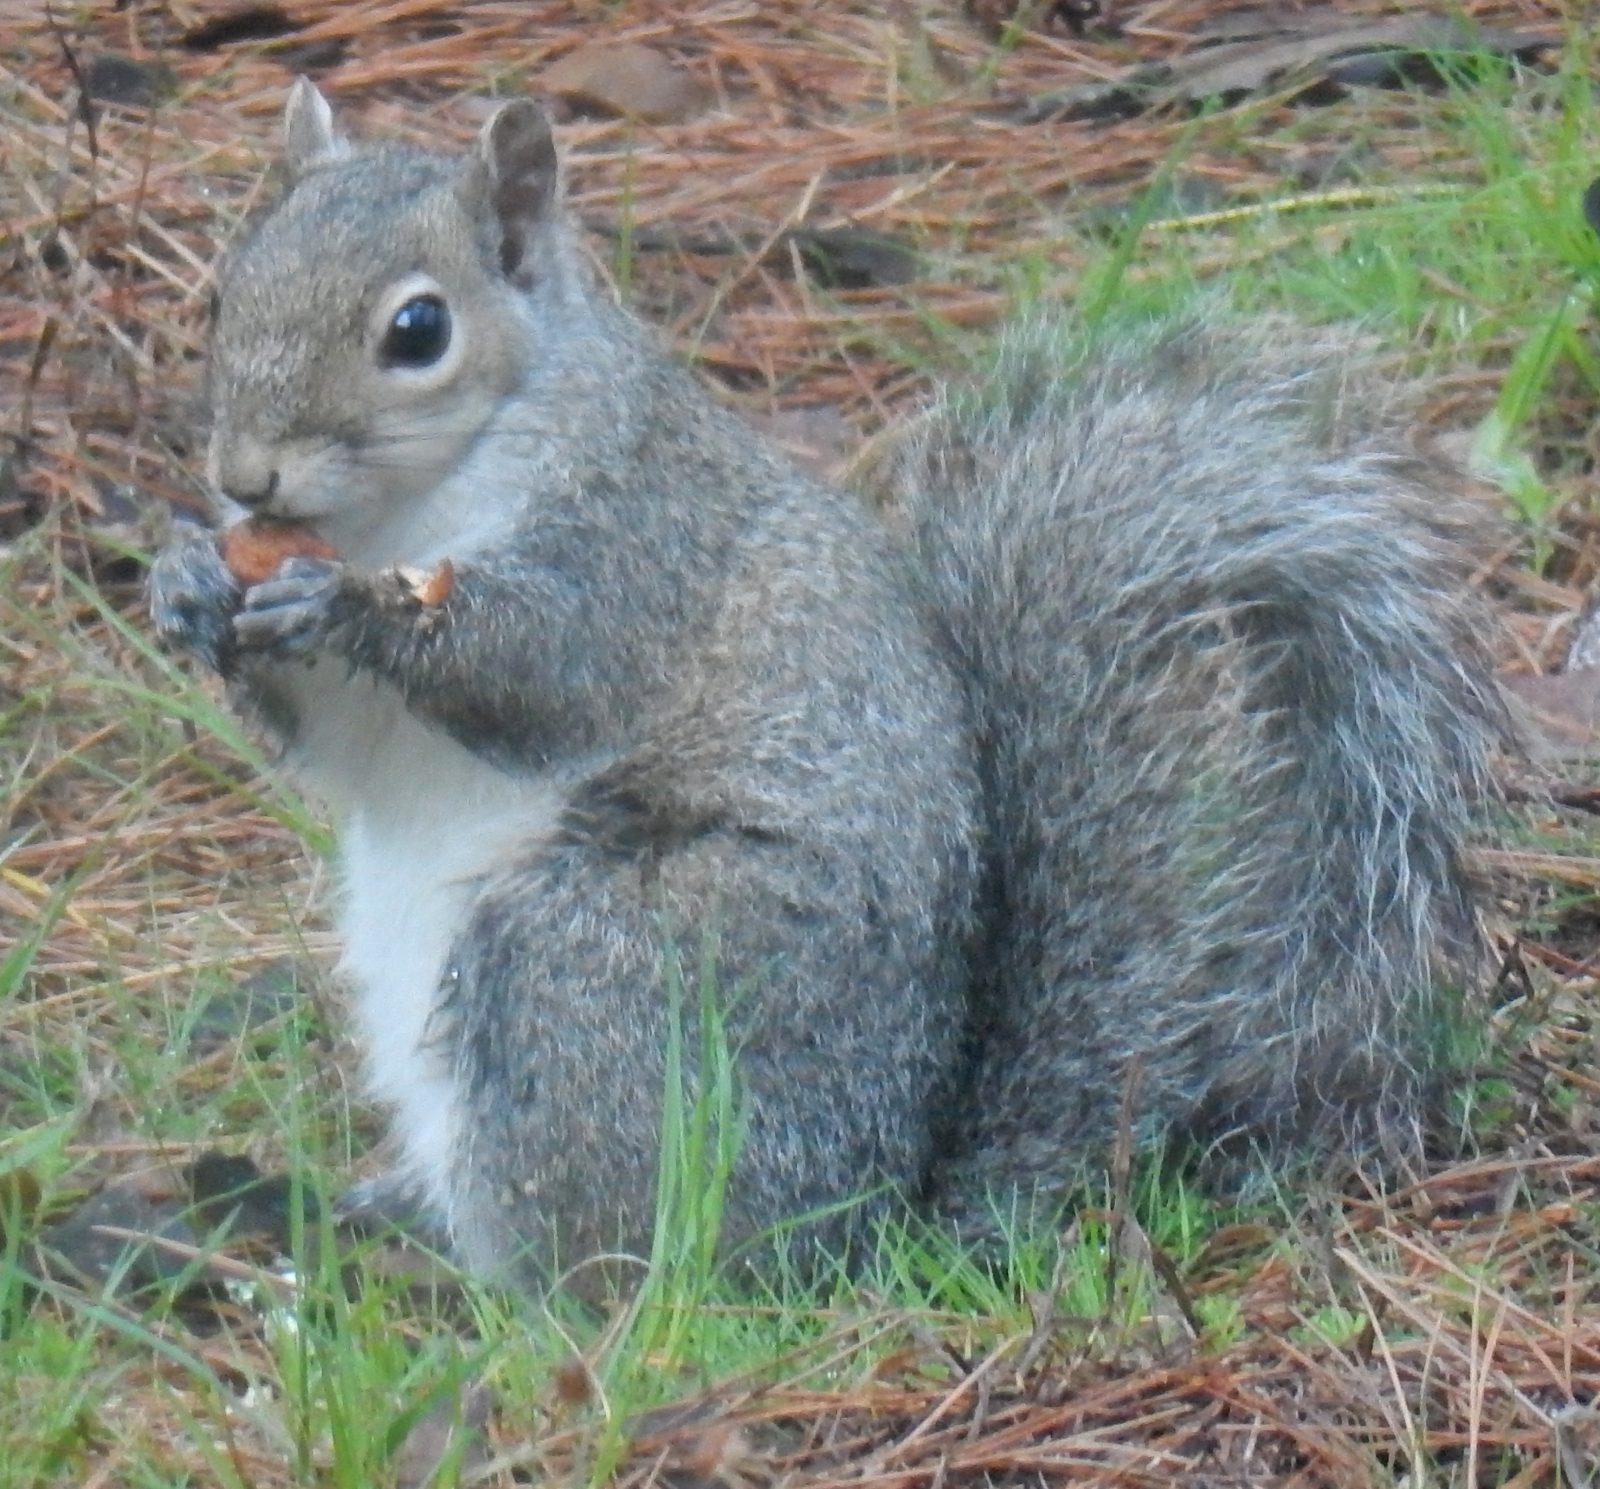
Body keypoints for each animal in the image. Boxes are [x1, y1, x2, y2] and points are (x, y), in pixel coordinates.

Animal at [149, 80, 1511, 1289]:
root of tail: (865, 1225)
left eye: (417, 331)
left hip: (607, 970)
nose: (246, 476)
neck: (397, 511)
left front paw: (354, 610)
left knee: (620, 1259)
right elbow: (331, 746)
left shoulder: (639, 537)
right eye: (230, 286)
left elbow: (544, 670)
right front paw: (186, 582)